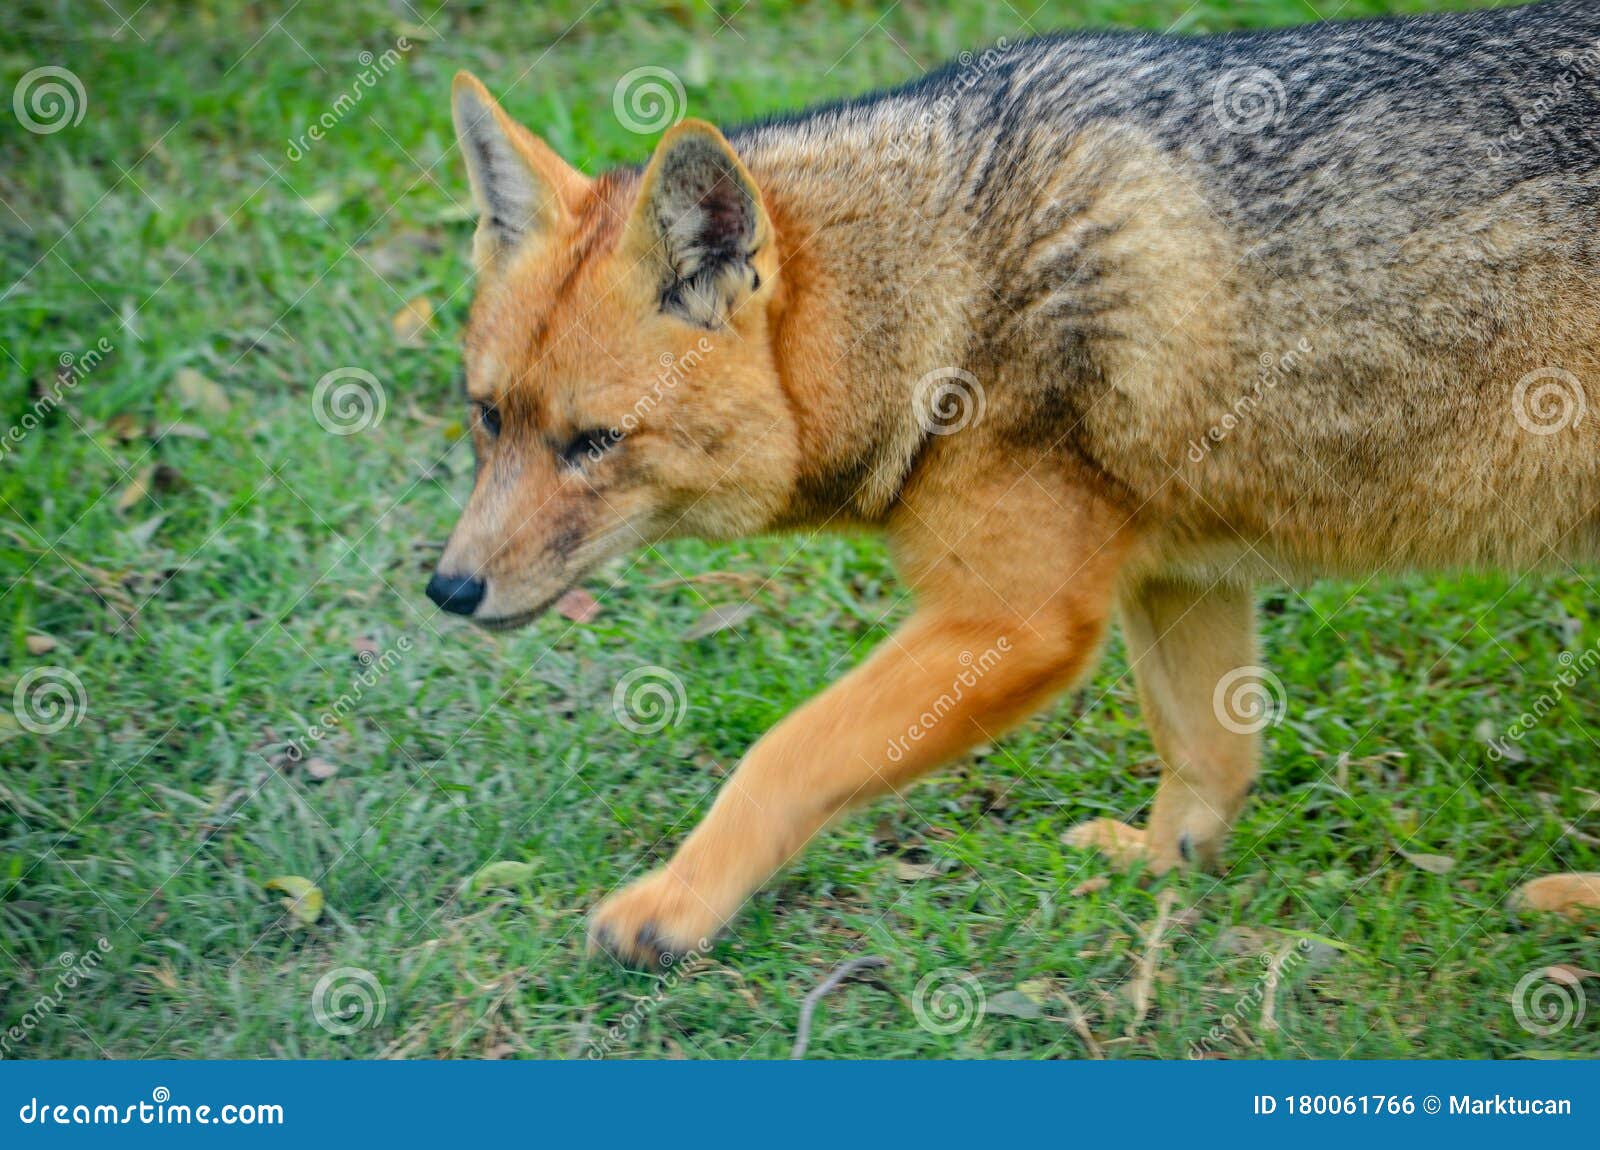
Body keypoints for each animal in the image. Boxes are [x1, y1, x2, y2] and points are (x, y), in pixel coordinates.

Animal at [430, 0, 1600, 968]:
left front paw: (673, 904)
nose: (448, 590)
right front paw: (1157, 871)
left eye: (593, 442)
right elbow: (1211, 759)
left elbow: (784, 753)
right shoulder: (1177, 575)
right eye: (487, 416)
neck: (943, 290)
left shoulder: (1016, 622)